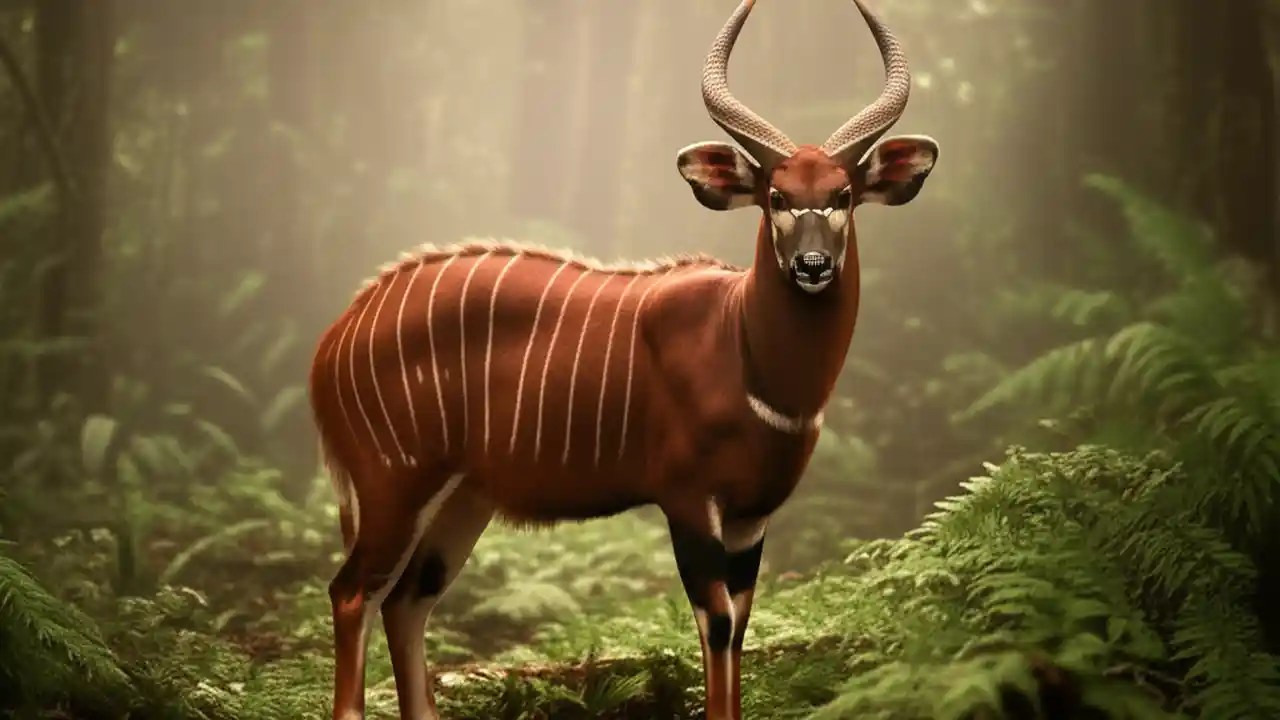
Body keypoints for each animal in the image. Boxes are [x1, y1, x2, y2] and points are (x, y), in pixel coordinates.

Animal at [308, 0, 937, 718]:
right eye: (777, 196)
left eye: (843, 195)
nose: (812, 265)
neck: (745, 349)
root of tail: (334, 338)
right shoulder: (688, 498)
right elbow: (717, 623)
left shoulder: (750, 516)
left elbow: (742, 623)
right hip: (394, 482)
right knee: (353, 591)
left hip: (463, 497)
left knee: (409, 600)